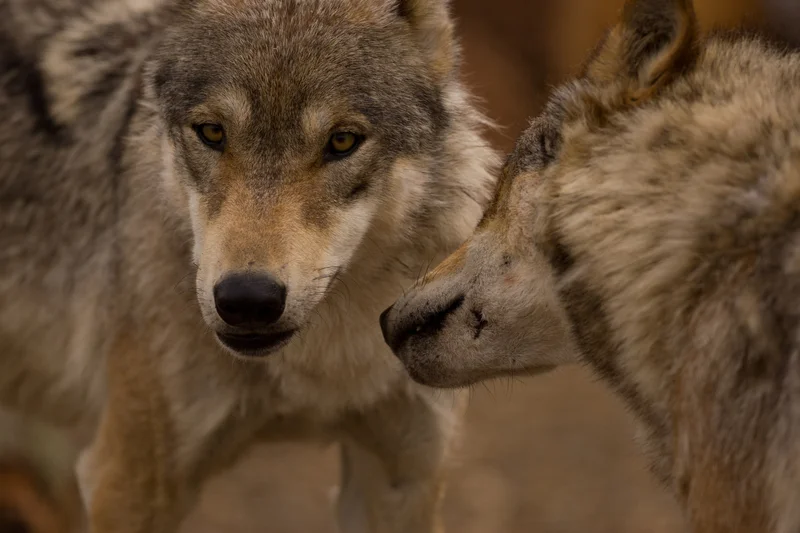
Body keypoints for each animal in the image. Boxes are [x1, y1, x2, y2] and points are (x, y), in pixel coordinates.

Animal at [0, 0, 499, 530]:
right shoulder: (127, 484)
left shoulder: (402, 484)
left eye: (343, 141)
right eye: (212, 132)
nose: (247, 299)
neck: (323, 368)